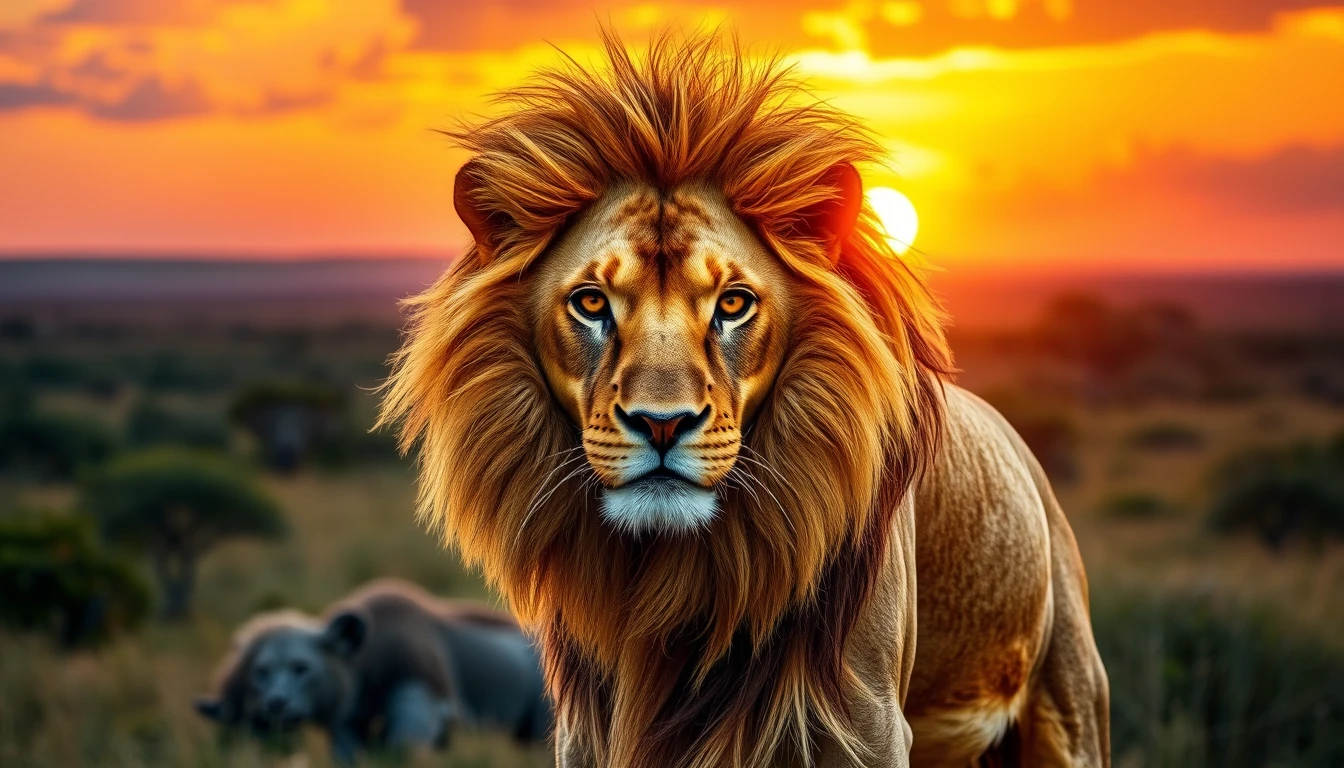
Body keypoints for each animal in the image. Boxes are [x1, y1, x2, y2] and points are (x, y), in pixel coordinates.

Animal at [379, 30, 1109, 768]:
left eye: (733, 304)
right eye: (591, 303)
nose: (662, 425)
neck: (677, 581)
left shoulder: (868, 724)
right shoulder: (589, 731)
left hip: (1067, 711)